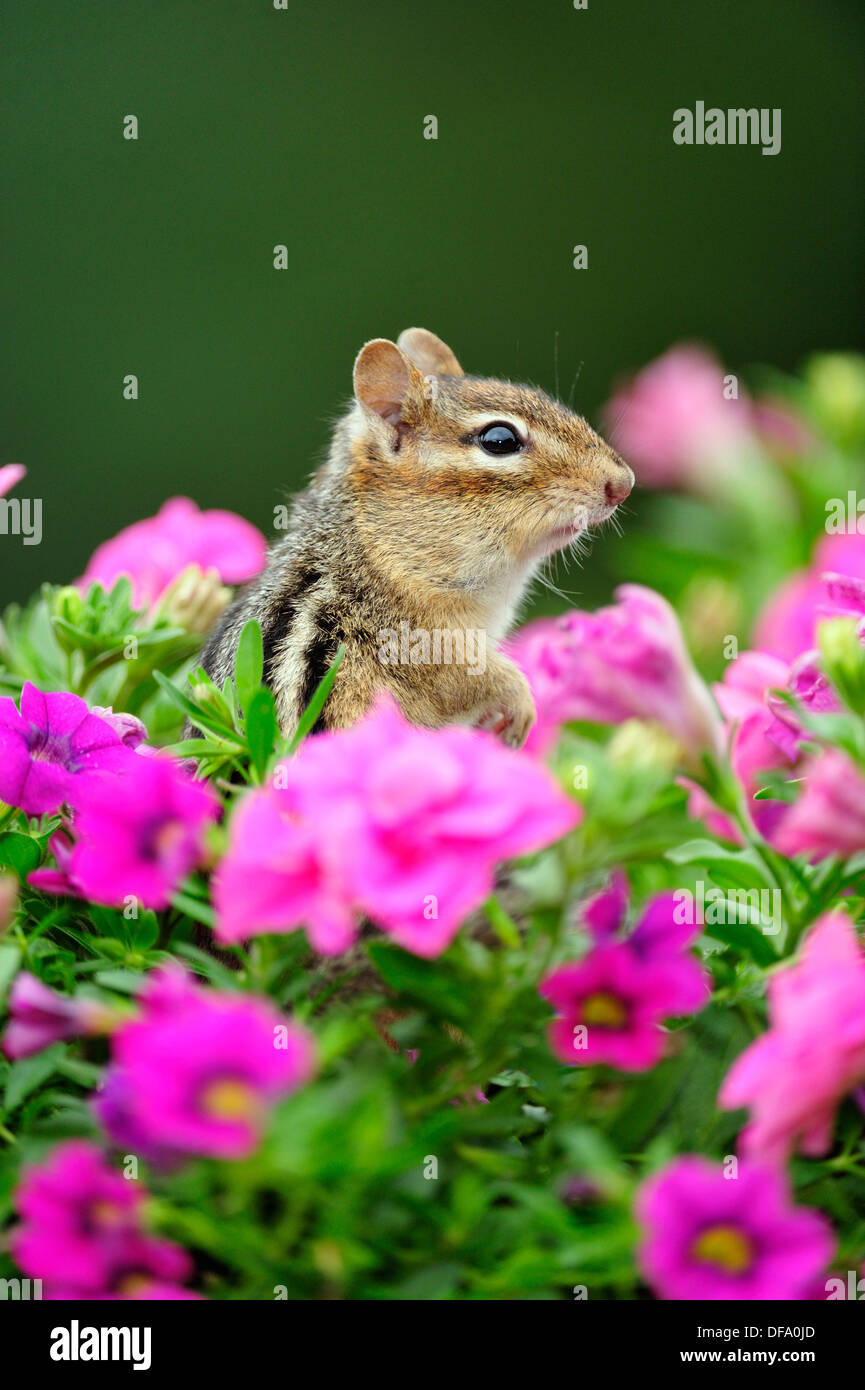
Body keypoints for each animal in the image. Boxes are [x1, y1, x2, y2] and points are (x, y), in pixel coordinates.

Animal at [199, 328, 634, 748]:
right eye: (500, 440)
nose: (623, 484)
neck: (377, 555)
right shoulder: (423, 644)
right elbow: (475, 680)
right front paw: (520, 704)